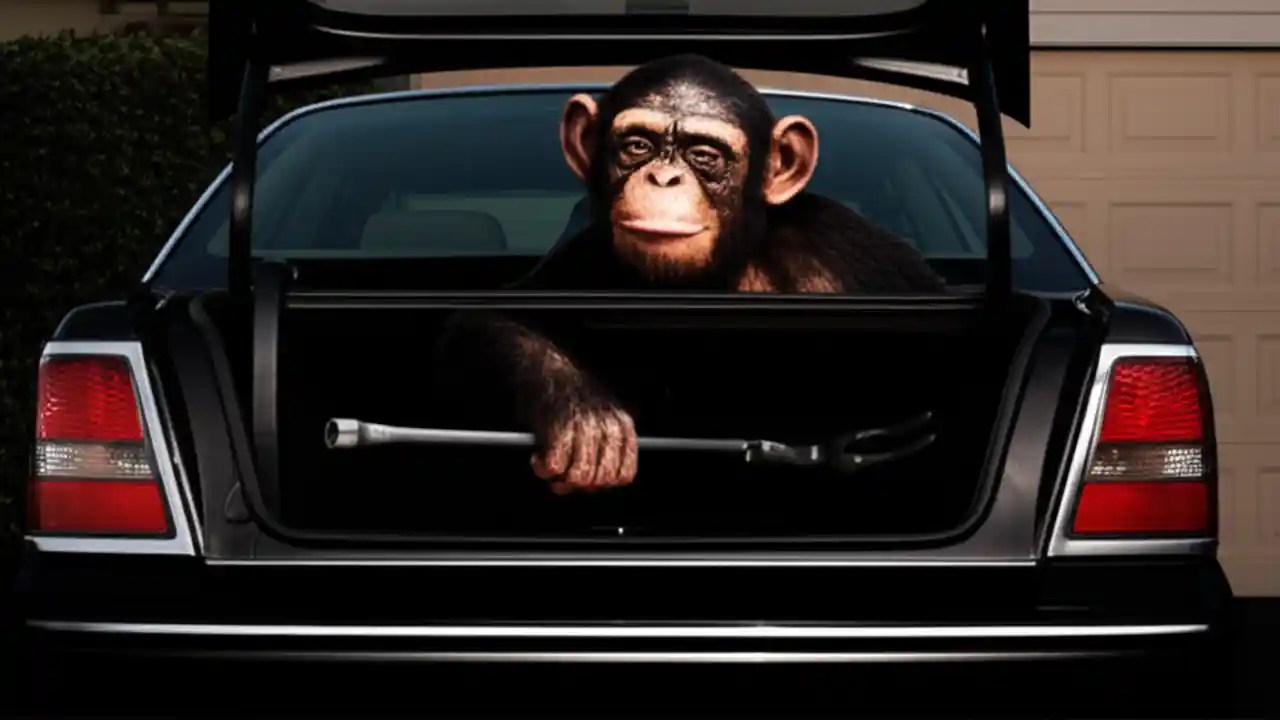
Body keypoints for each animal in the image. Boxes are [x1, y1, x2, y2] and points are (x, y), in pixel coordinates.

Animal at [432, 54, 946, 497]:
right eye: (637, 146)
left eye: (704, 154)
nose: (664, 178)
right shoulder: (583, 259)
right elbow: (494, 317)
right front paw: (579, 416)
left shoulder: (851, 253)